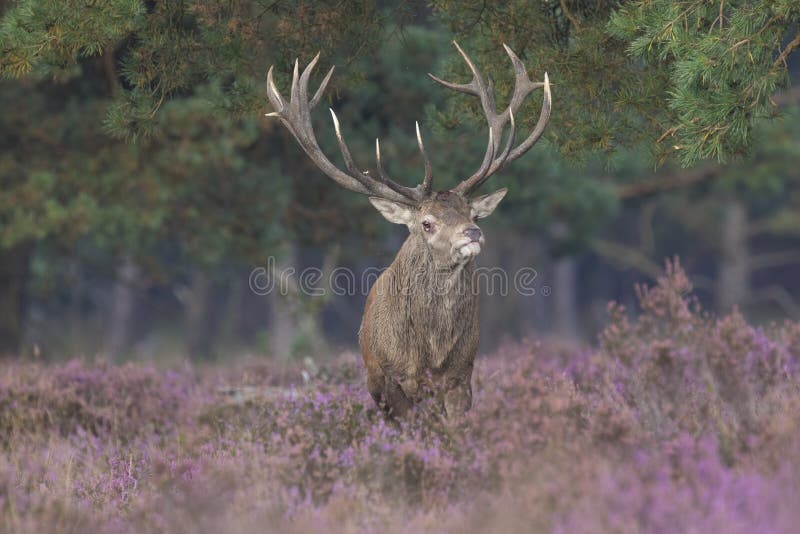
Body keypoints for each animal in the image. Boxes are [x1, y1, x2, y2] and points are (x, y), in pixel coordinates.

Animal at [265, 42, 551, 418]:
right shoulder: (392, 380)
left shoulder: (461, 374)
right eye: (427, 223)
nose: (472, 233)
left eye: (473, 214)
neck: (430, 353)